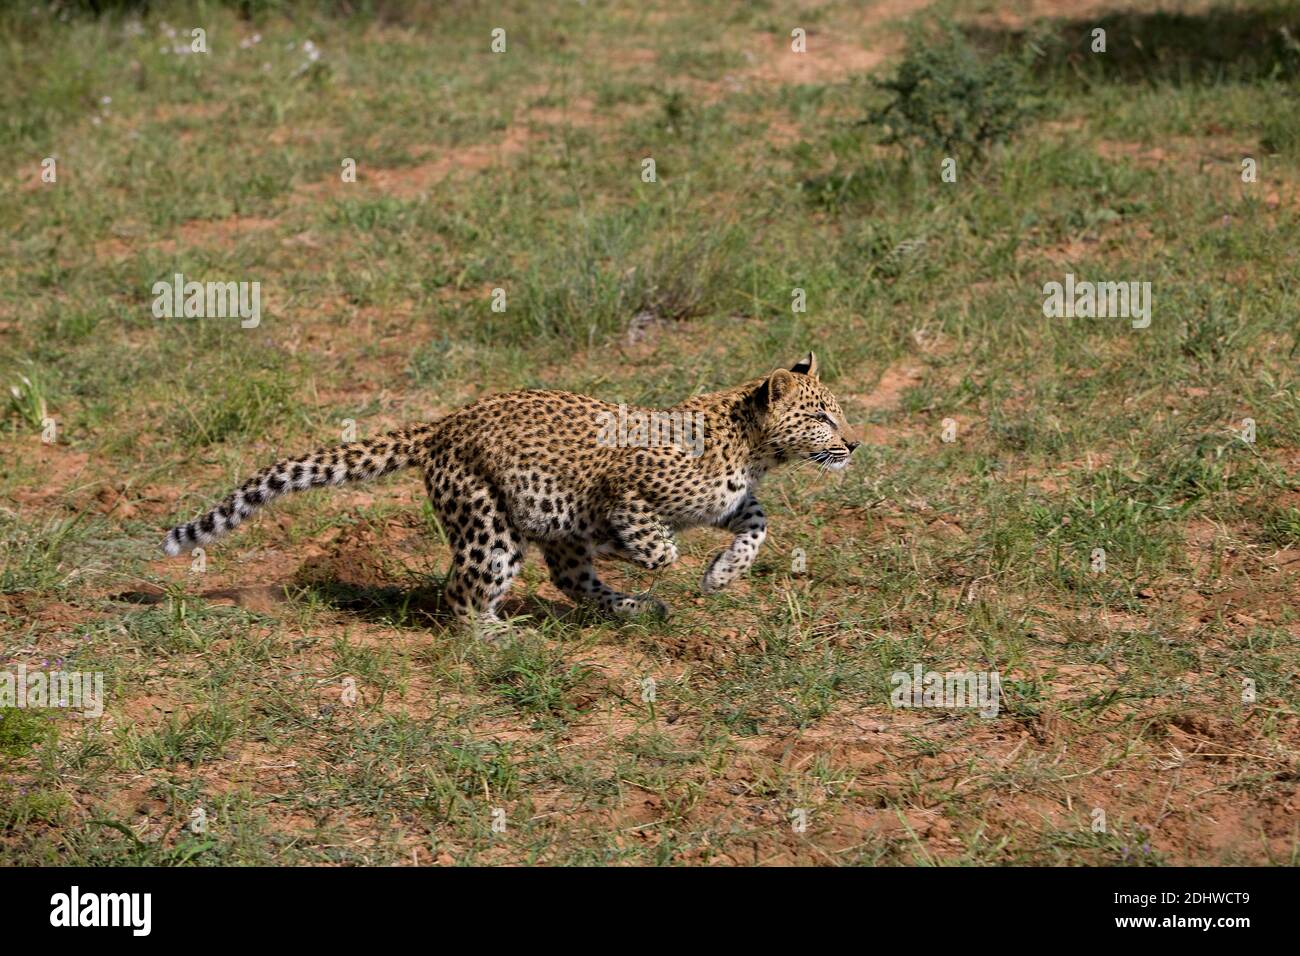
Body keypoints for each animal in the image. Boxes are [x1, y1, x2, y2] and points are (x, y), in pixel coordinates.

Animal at [162, 352, 860, 628]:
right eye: (822, 416)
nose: (854, 444)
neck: (754, 448)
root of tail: (446, 422)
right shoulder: (625, 487)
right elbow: (656, 544)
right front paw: (650, 552)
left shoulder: (735, 502)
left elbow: (756, 524)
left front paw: (722, 574)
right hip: (488, 526)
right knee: (461, 595)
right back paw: (501, 637)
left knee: (570, 580)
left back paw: (633, 608)